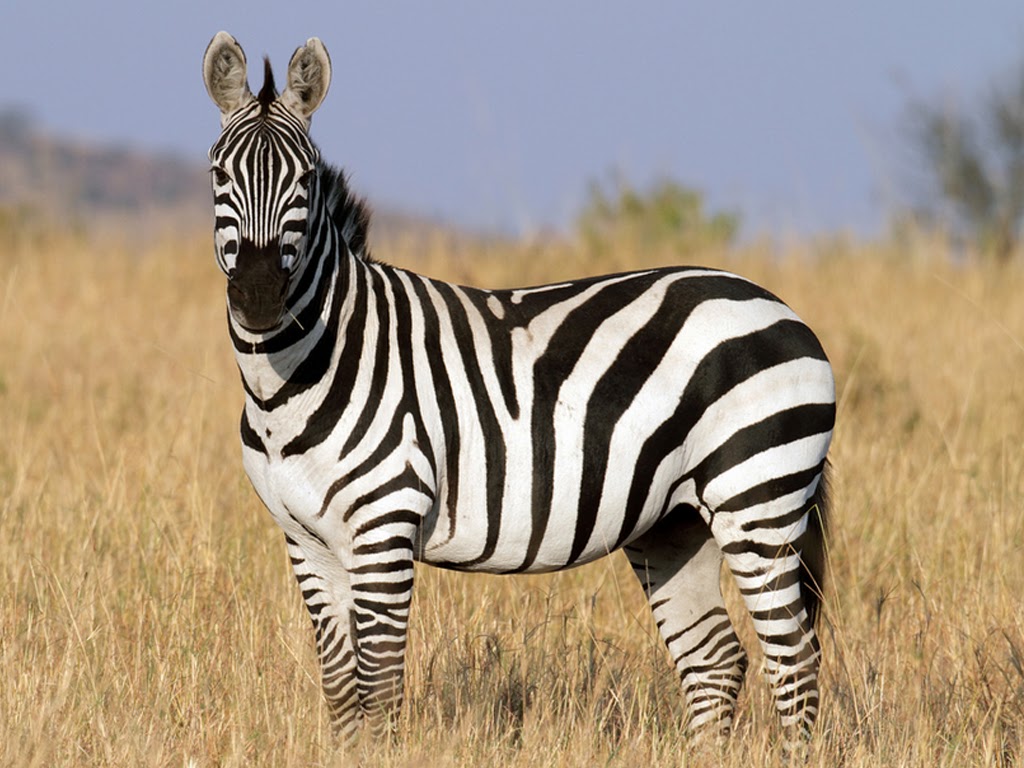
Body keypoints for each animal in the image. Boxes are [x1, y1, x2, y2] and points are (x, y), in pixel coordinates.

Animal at [202, 31, 835, 745]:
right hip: (675, 519)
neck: (295, 382)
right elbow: (341, 691)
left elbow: (379, 689)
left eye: (305, 180)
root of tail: (779, 305)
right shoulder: (306, 541)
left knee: (793, 659)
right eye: (218, 174)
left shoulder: (385, 525)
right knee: (716, 659)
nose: (259, 299)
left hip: (758, 498)